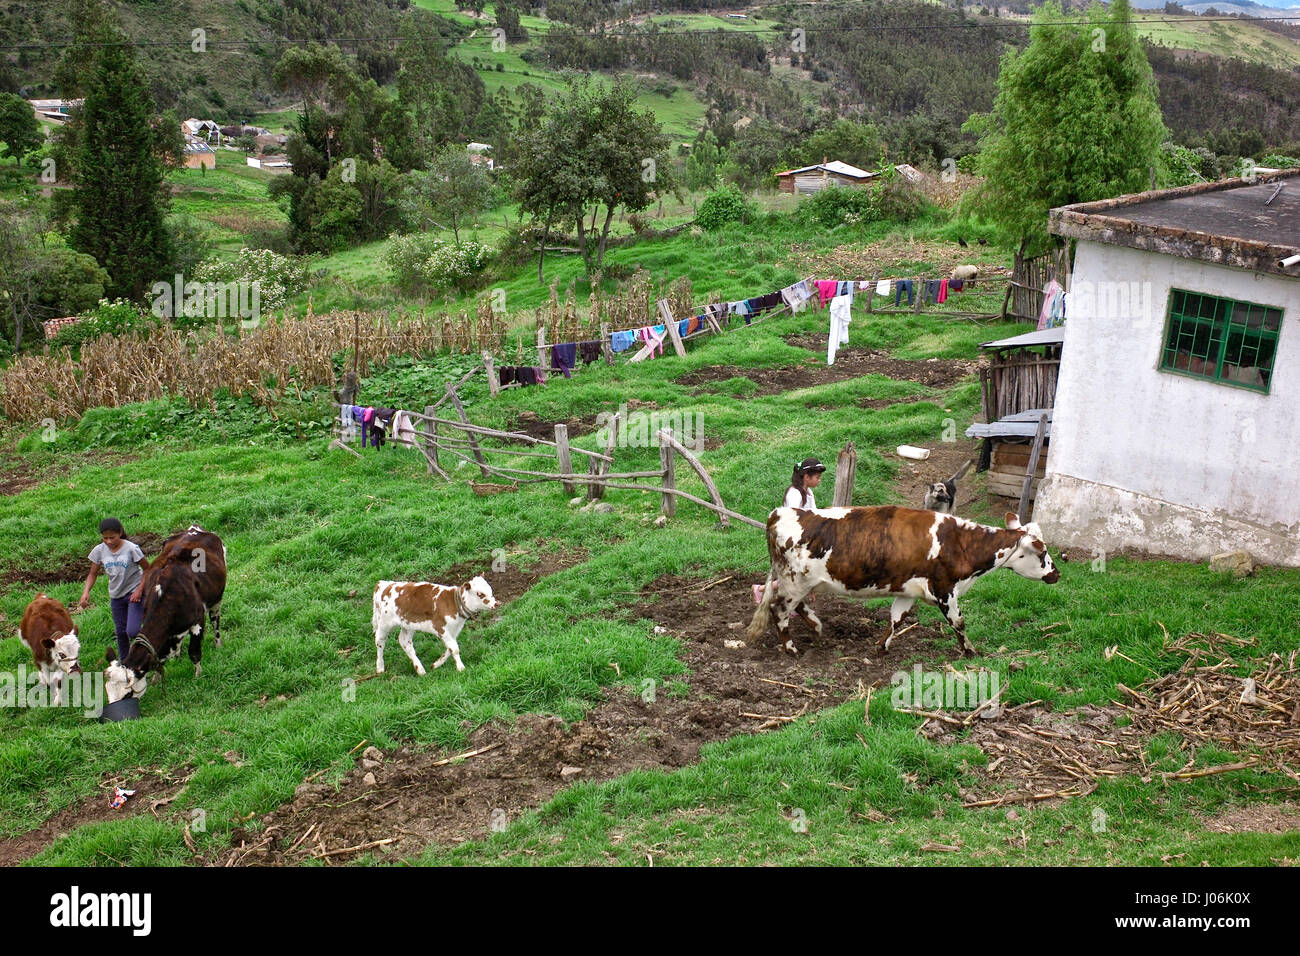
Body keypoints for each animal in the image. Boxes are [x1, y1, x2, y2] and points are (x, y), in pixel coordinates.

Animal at [104, 526, 226, 704]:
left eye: (127, 693)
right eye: (108, 692)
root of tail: (194, 528)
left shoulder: (197, 621)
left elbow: (194, 652)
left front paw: (198, 675)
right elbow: (160, 656)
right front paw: (156, 679)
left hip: (217, 599)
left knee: (215, 621)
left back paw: (218, 644)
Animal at [748, 507, 1059, 657]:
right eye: (1043, 552)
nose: (1057, 574)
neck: (960, 543)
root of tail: (780, 513)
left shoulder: (909, 591)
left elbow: (896, 619)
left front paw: (881, 647)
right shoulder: (946, 591)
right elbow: (959, 623)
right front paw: (971, 651)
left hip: (798, 582)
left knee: (796, 607)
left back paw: (816, 627)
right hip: (795, 581)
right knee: (779, 610)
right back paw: (791, 649)